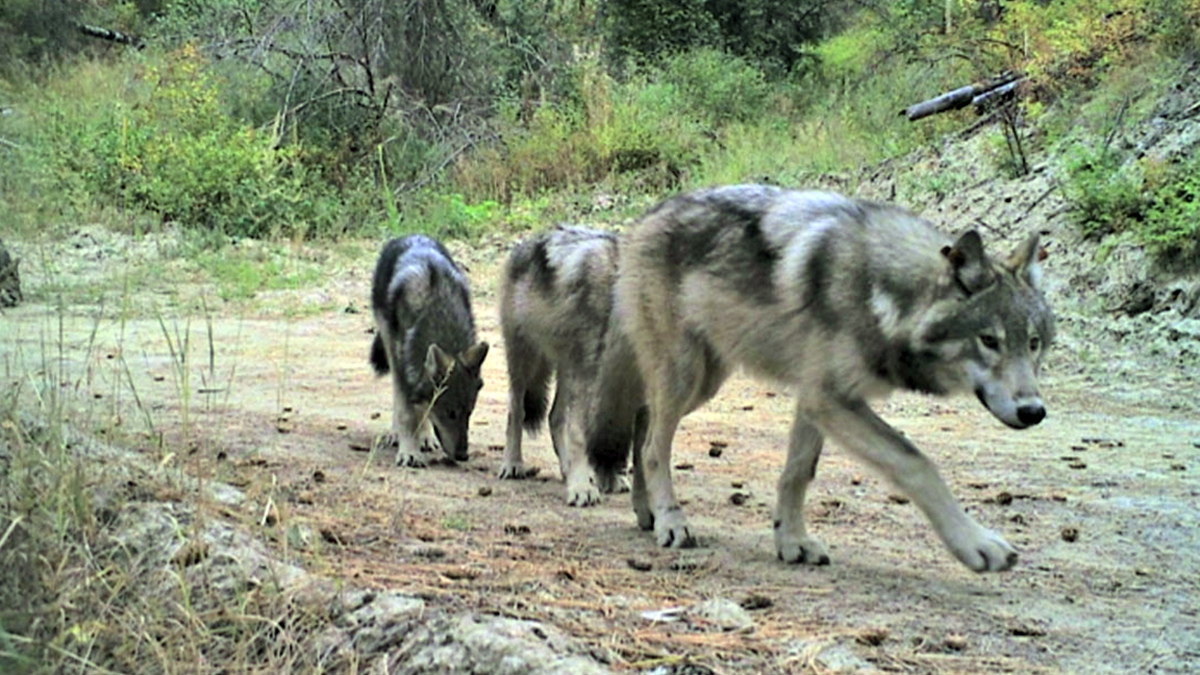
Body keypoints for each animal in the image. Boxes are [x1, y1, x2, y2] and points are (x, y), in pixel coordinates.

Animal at [369, 235, 489, 467]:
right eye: (450, 414)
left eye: (469, 413)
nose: (463, 455)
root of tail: (409, 235)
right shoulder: (402, 363)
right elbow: (406, 412)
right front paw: (409, 453)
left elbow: (422, 408)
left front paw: (421, 439)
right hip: (389, 342)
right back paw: (397, 434)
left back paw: (425, 437)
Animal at [498, 225, 631, 505]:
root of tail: (525, 244)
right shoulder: (589, 376)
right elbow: (580, 435)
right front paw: (582, 488)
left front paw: (609, 479)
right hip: (525, 361)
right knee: (516, 411)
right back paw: (513, 464)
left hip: (567, 370)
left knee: (554, 417)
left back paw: (569, 469)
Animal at [588, 184, 1055, 573]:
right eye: (989, 341)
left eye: (1033, 343)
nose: (1034, 412)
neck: (882, 293)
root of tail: (640, 223)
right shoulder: (830, 399)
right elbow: (916, 462)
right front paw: (977, 543)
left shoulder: (815, 401)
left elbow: (796, 474)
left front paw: (792, 541)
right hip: (687, 375)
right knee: (653, 447)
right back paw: (671, 521)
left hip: (704, 381)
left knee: (643, 427)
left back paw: (648, 512)